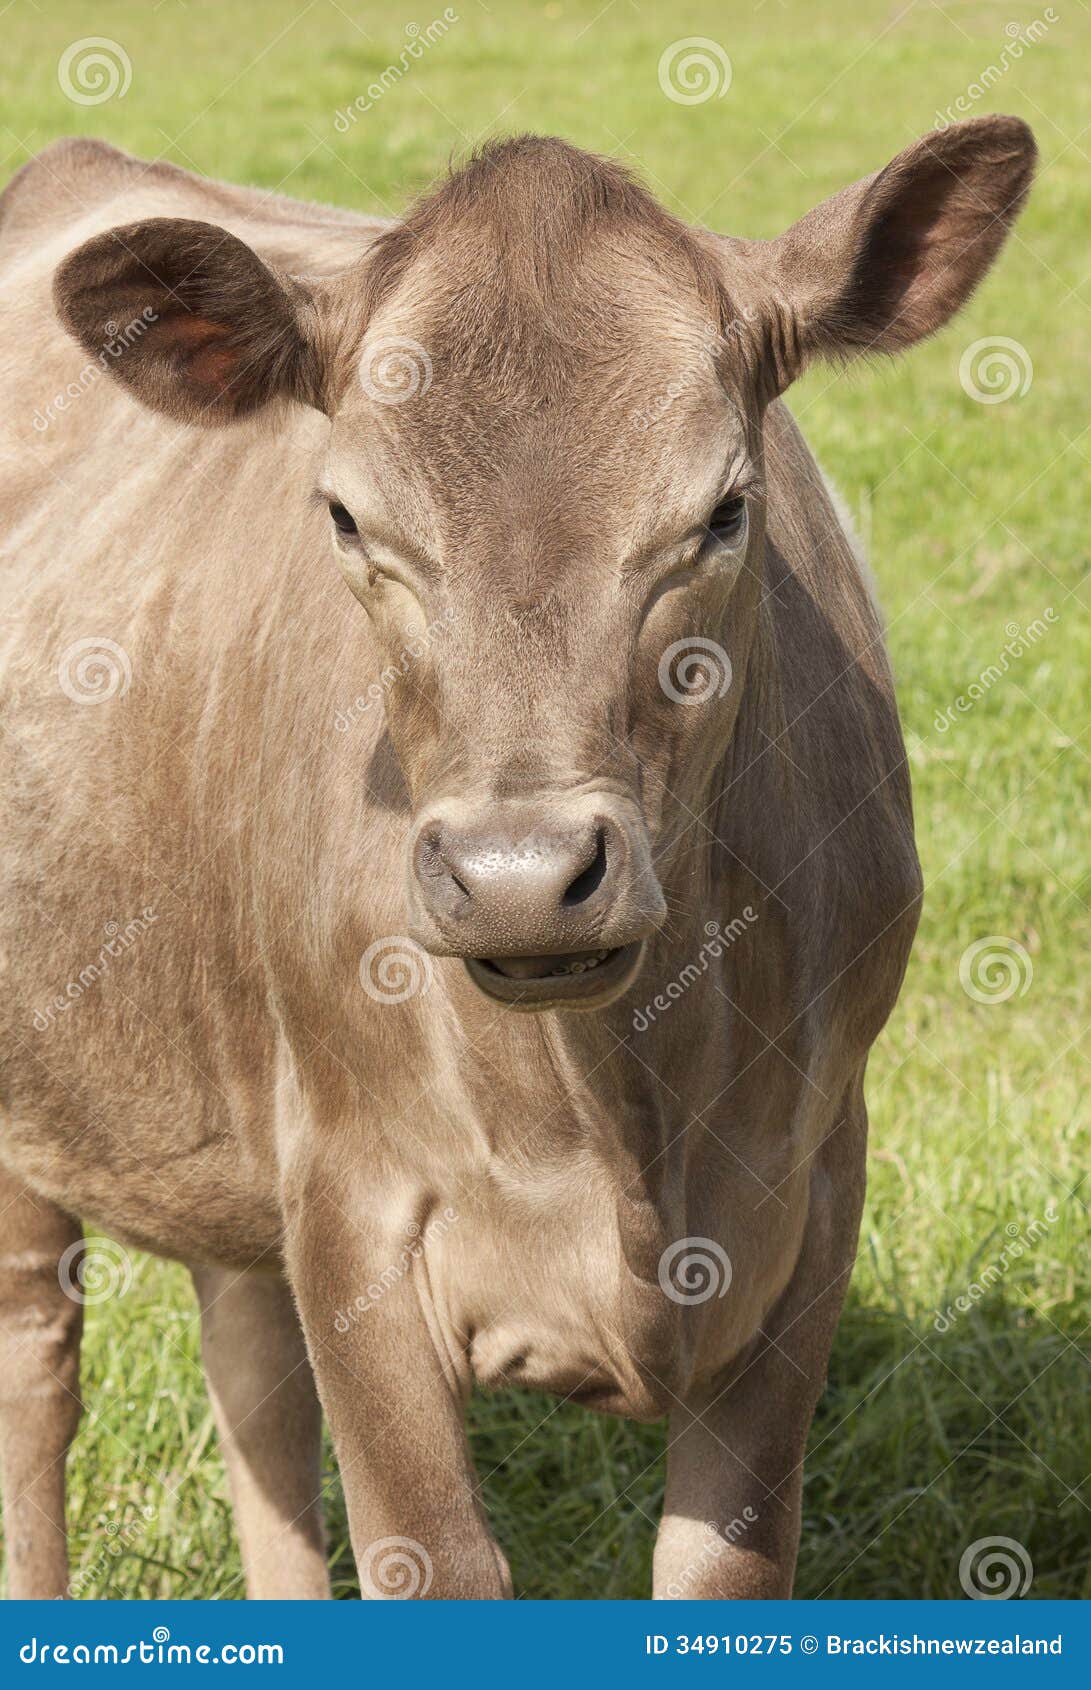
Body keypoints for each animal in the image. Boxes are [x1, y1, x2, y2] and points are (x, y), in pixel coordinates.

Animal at [0, 117, 1035, 1600]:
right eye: (346, 518)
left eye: (724, 511)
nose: (519, 876)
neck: (619, 1123)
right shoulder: (357, 1208)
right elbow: (428, 1555)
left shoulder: (810, 1198)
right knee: (37, 1368)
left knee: (250, 1365)